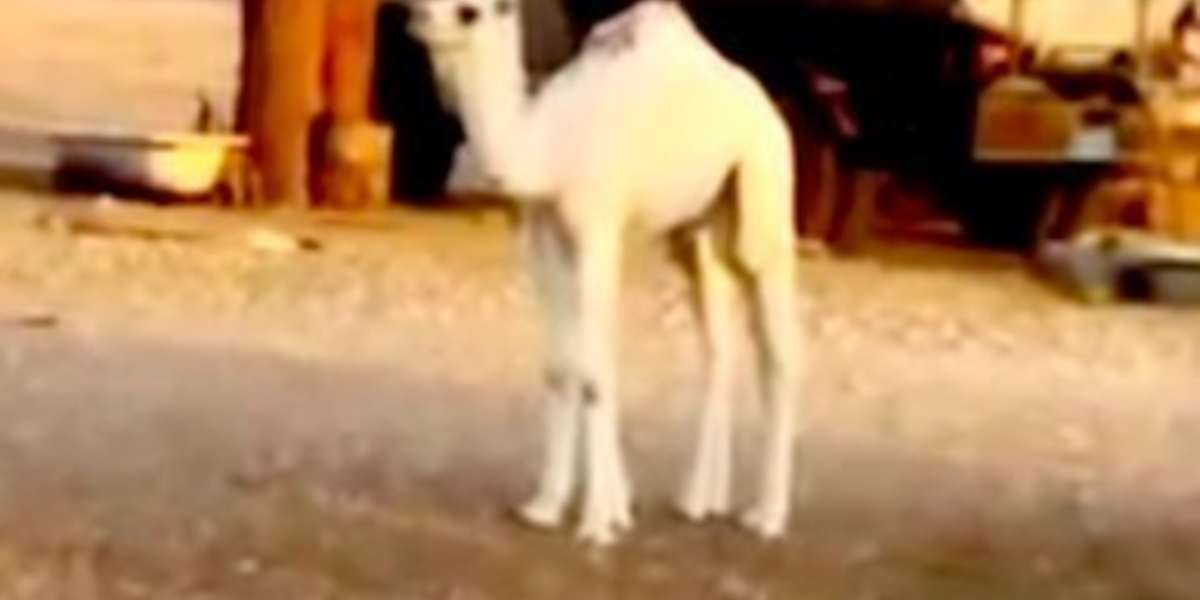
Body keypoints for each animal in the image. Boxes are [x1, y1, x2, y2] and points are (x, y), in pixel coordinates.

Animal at [409, 0, 803, 546]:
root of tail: (761, 101)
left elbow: (597, 369)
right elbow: (563, 366)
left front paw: (599, 520)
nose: (415, 17)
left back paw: (767, 515)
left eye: (470, 13)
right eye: (426, 1)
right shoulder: (544, 236)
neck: (546, 150)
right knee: (718, 347)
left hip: (764, 193)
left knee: (779, 352)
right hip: (696, 230)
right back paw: (699, 500)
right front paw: (549, 506)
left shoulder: (599, 229)